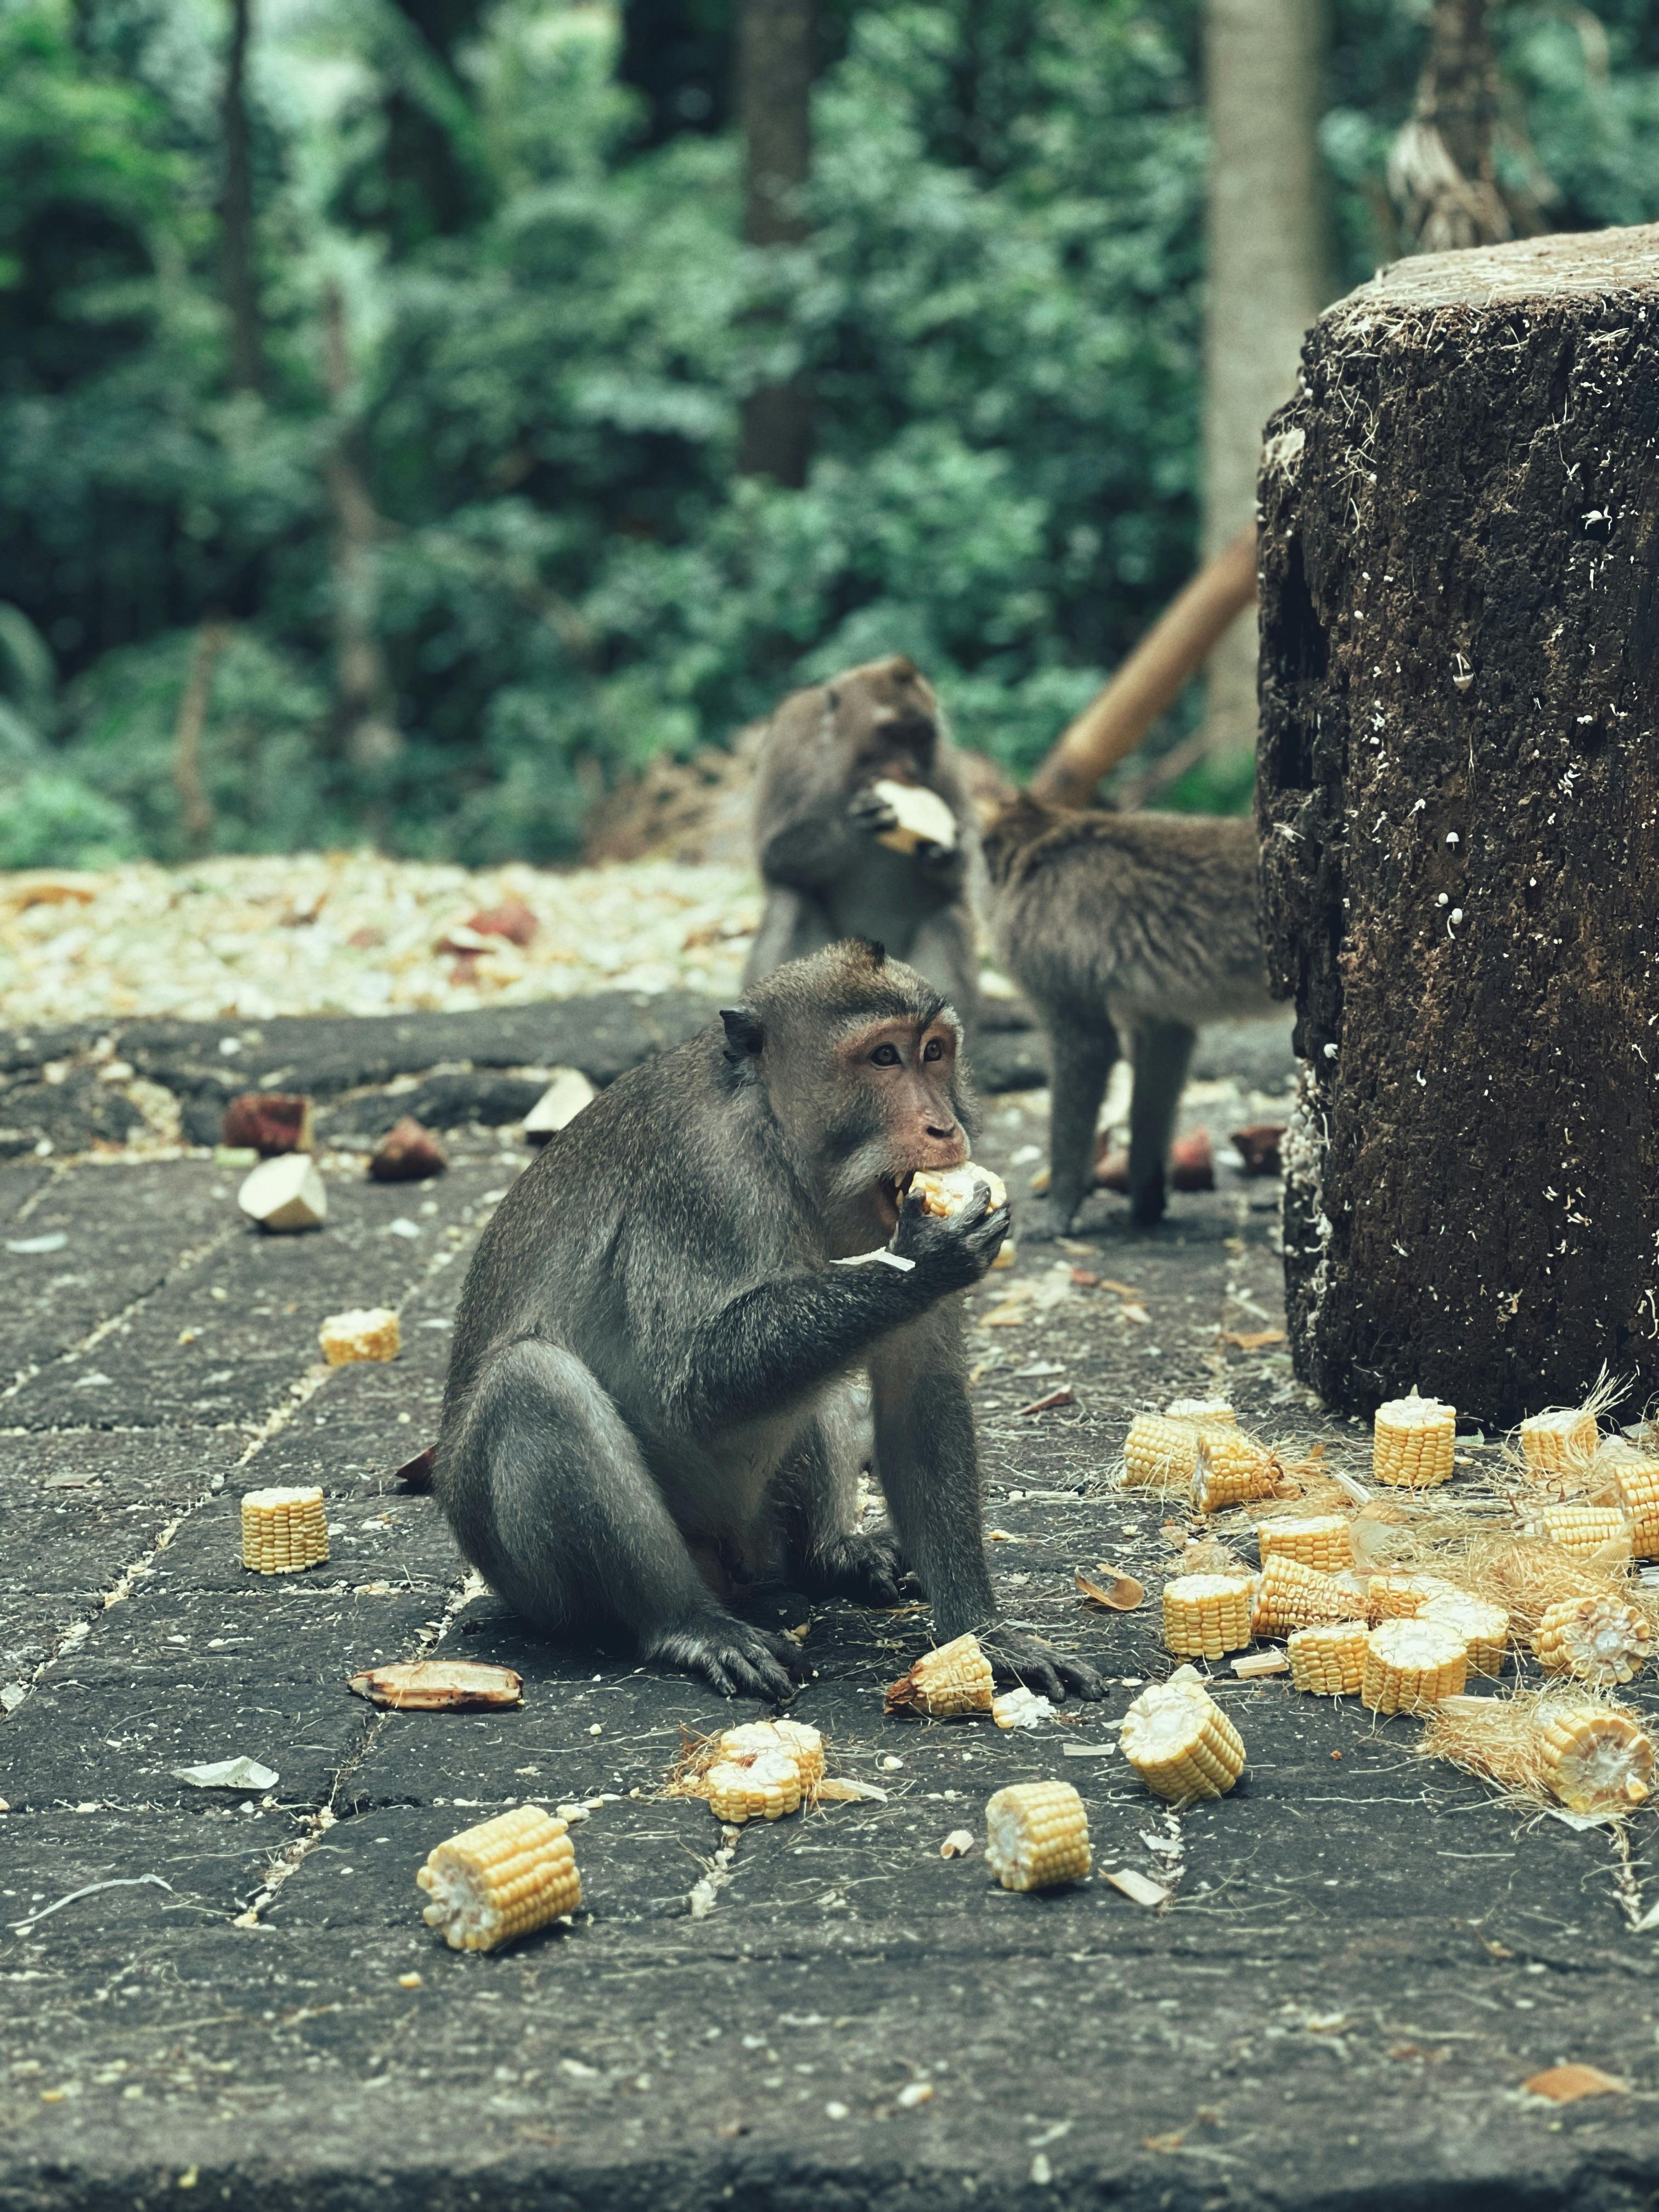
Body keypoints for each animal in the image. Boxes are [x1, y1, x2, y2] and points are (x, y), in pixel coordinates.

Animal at [434, 939, 1101, 1704]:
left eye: (934, 1052)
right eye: (883, 1058)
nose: (944, 1126)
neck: (780, 1142)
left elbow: (918, 1391)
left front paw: (984, 1635)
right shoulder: (703, 1178)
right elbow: (691, 1387)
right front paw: (928, 1260)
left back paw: (830, 1556)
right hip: (529, 1578)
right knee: (533, 1380)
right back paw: (689, 1624)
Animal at [743, 656, 980, 1034]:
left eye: (919, 738)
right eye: (892, 734)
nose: (909, 770)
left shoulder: (942, 758)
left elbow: (961, 862)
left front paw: (948, 852)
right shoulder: (792, 736)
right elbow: (775, 853)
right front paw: (856, 825)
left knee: (946, 913)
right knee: (791, 902)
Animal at [981, 792, 1275, 1237]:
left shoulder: (1047, 955)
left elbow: (1089, 1047)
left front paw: (1060, 1209)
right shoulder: (1158, 1020)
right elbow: (1165, 1049)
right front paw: (1146, 1201)